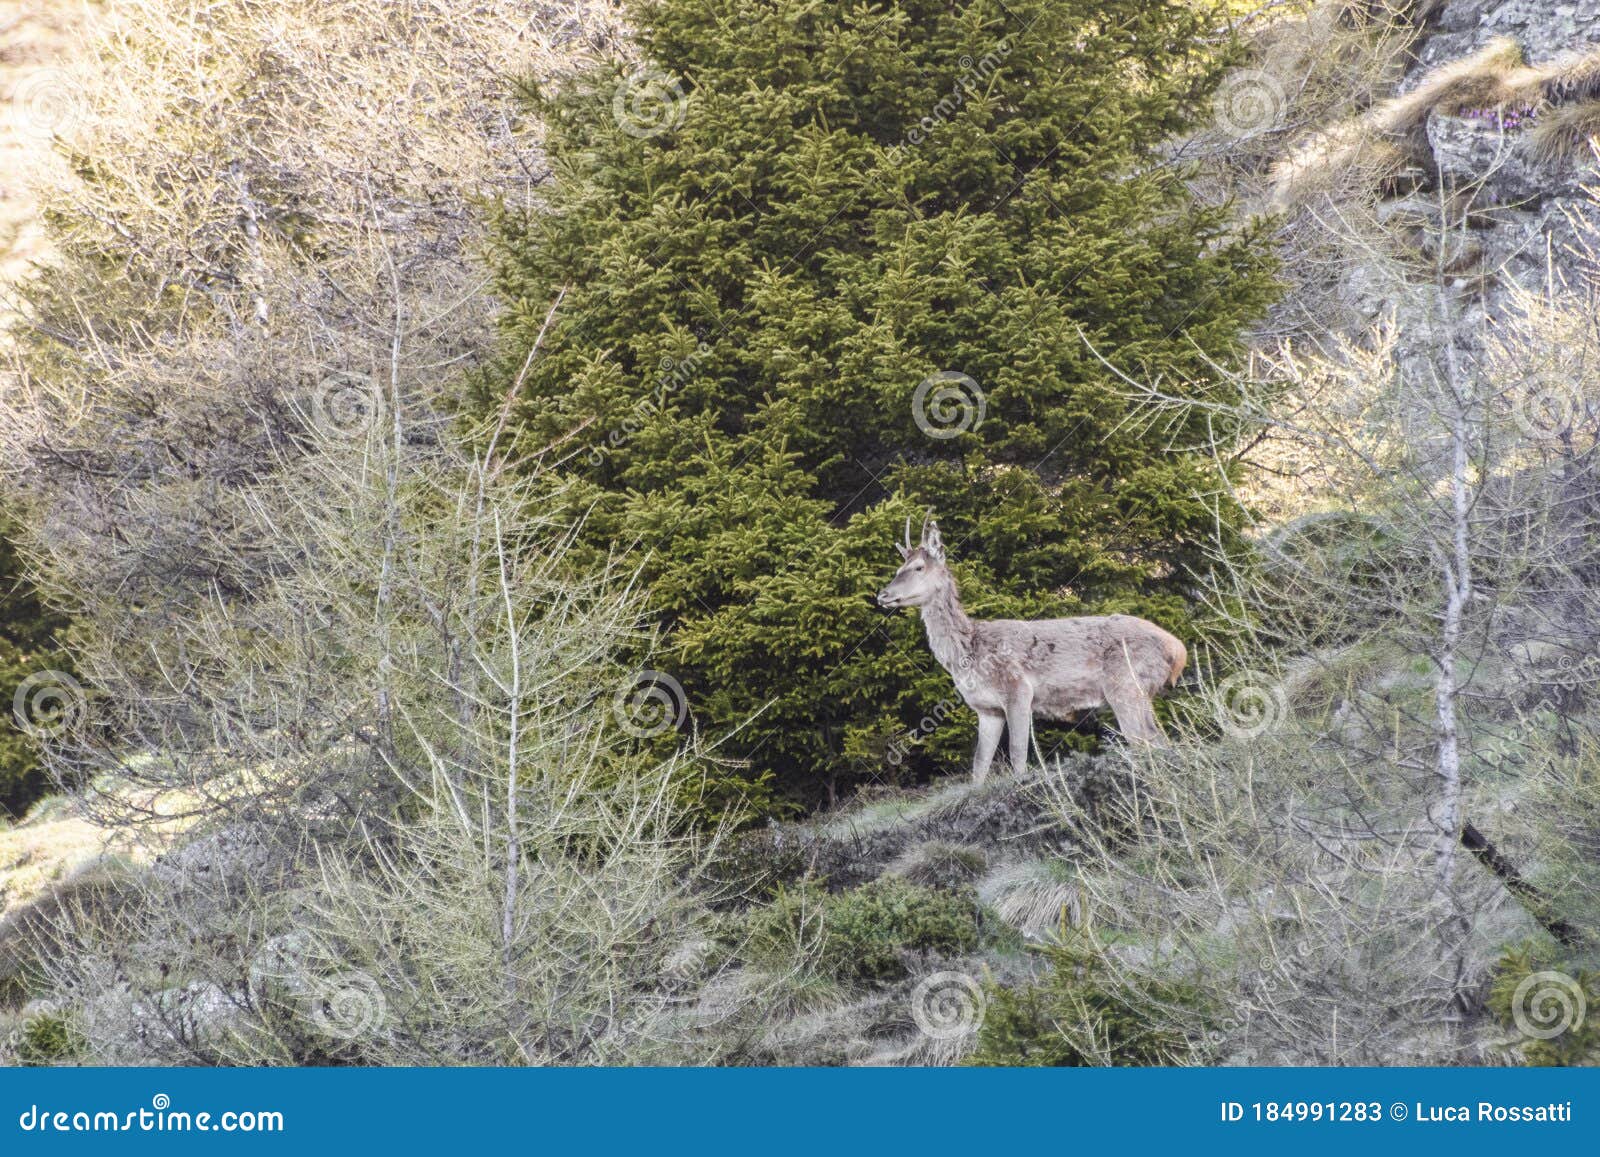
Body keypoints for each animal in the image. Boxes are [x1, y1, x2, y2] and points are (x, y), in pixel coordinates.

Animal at [876, 517, 1186, 782]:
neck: (969, 652)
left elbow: (1017, 756)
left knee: (1145, 740)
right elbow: (979, 767)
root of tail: (1179, 650)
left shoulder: (1018, 690)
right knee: (1157, 739)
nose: (883, 594)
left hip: (1126, 685)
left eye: (919, 567)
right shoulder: (987, 709)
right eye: (897, 570)